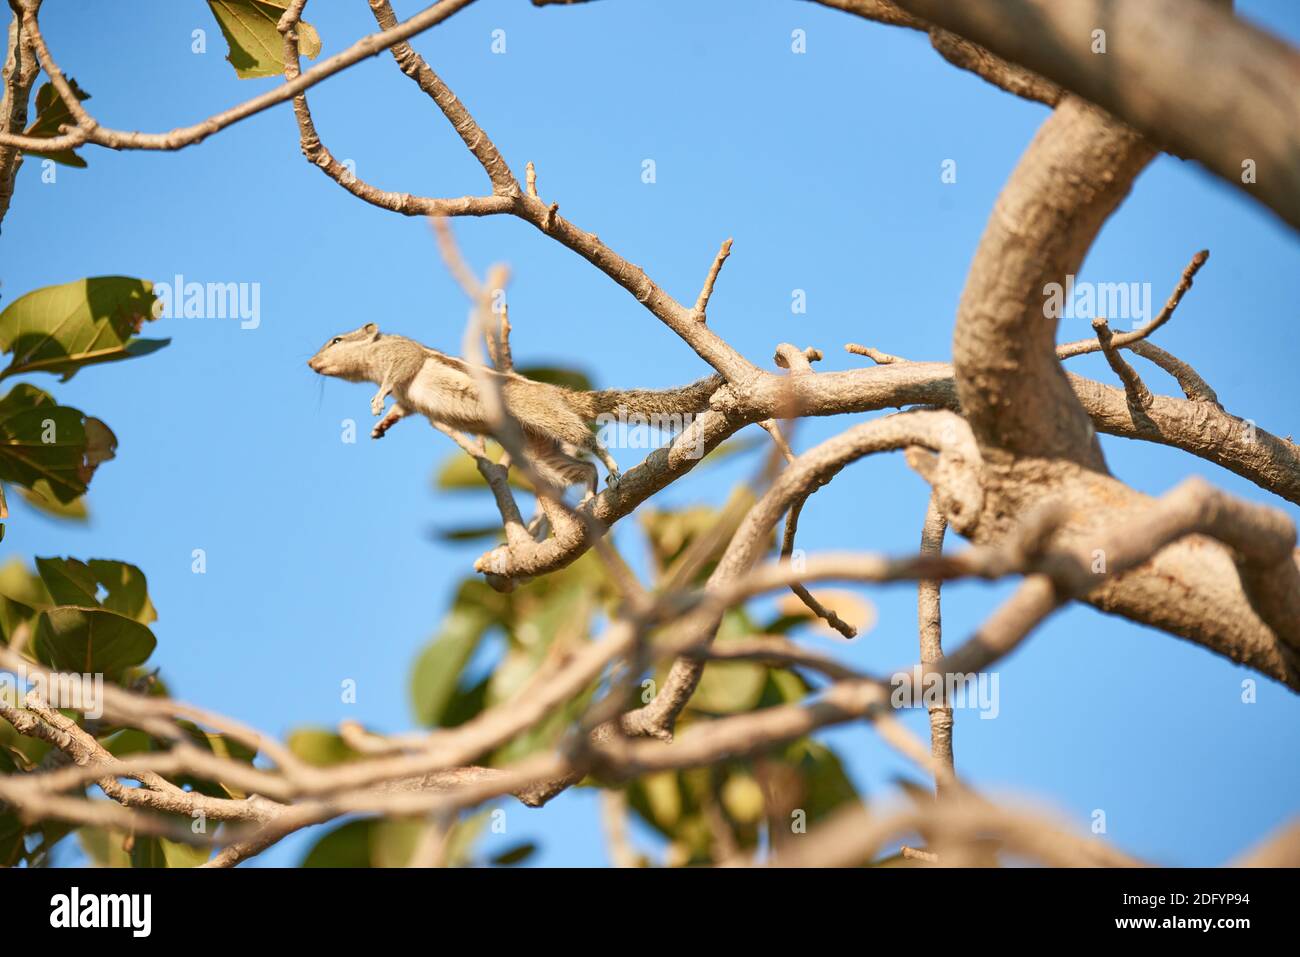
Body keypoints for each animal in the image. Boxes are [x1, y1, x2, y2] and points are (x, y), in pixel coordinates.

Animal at [307, 323, 723, 494]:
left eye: (336, 340)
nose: (311, 363)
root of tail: (559, 394)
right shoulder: (410, 399)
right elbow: (404, 409)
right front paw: (384, 422)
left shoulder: (404, 356)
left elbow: (399, 372)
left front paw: (378, 399)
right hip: (539, 450)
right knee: (581, 468)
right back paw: (589, 494)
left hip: (545, 415)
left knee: (588, 441)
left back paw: (612, 469)